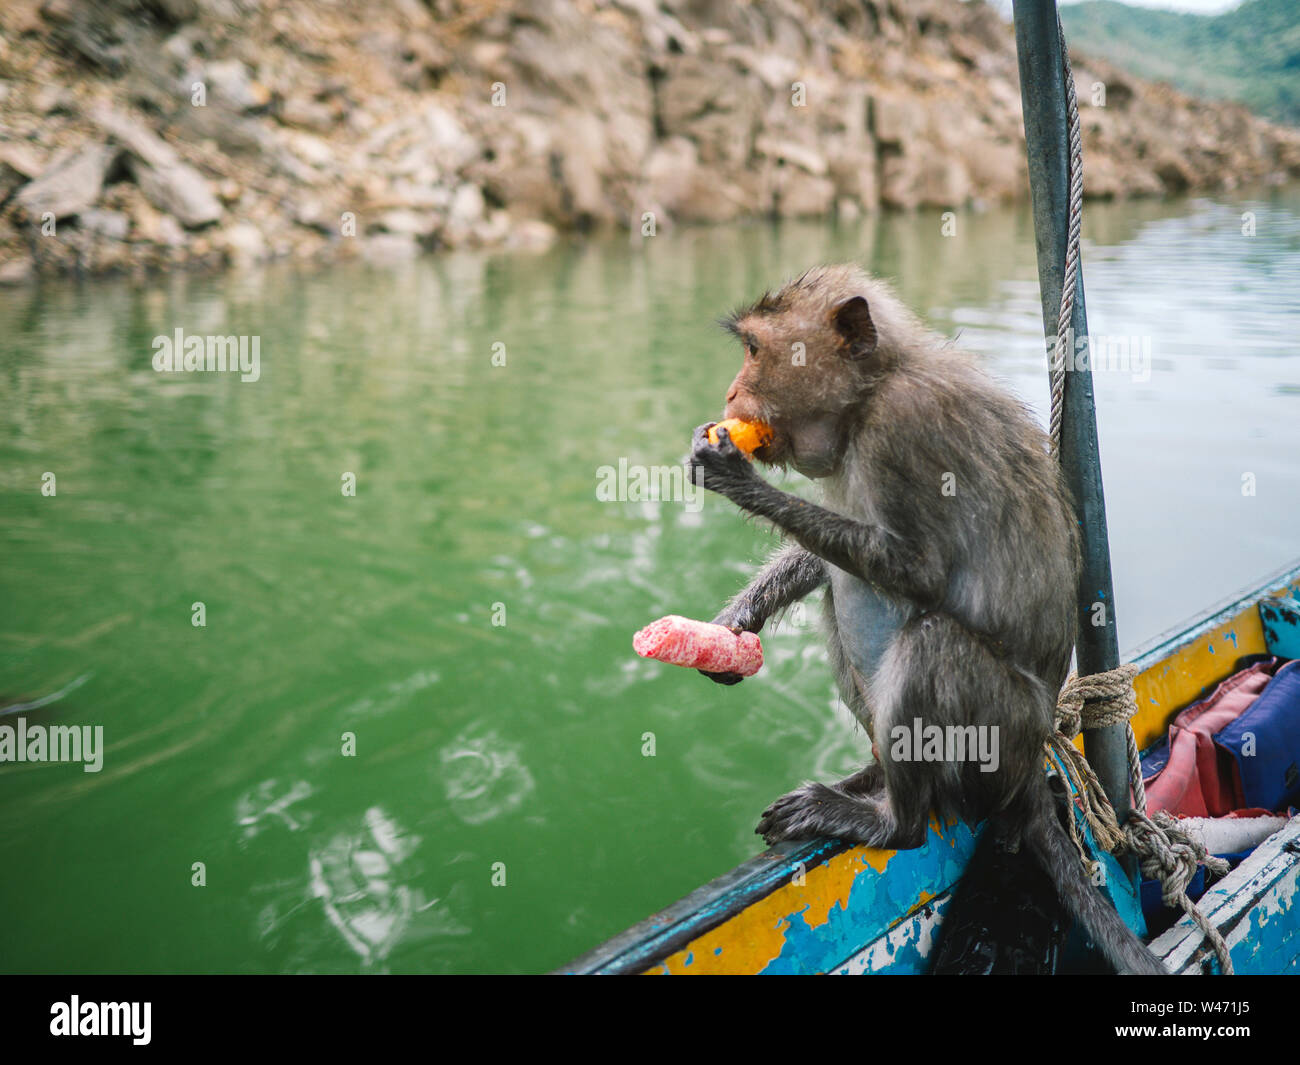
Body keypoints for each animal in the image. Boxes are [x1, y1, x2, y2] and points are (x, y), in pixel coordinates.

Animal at [684, 264, 1163, 975]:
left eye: (753, 349)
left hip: (994, 737)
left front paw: (735, 478)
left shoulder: (905, 430)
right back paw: (874, 778)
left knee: (932, 642)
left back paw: (890, 820)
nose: (730, 392)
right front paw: (736, 621)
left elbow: (919, 572)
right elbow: (830, 559)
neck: (871, 392)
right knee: (843, 594)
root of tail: (1030, 773)